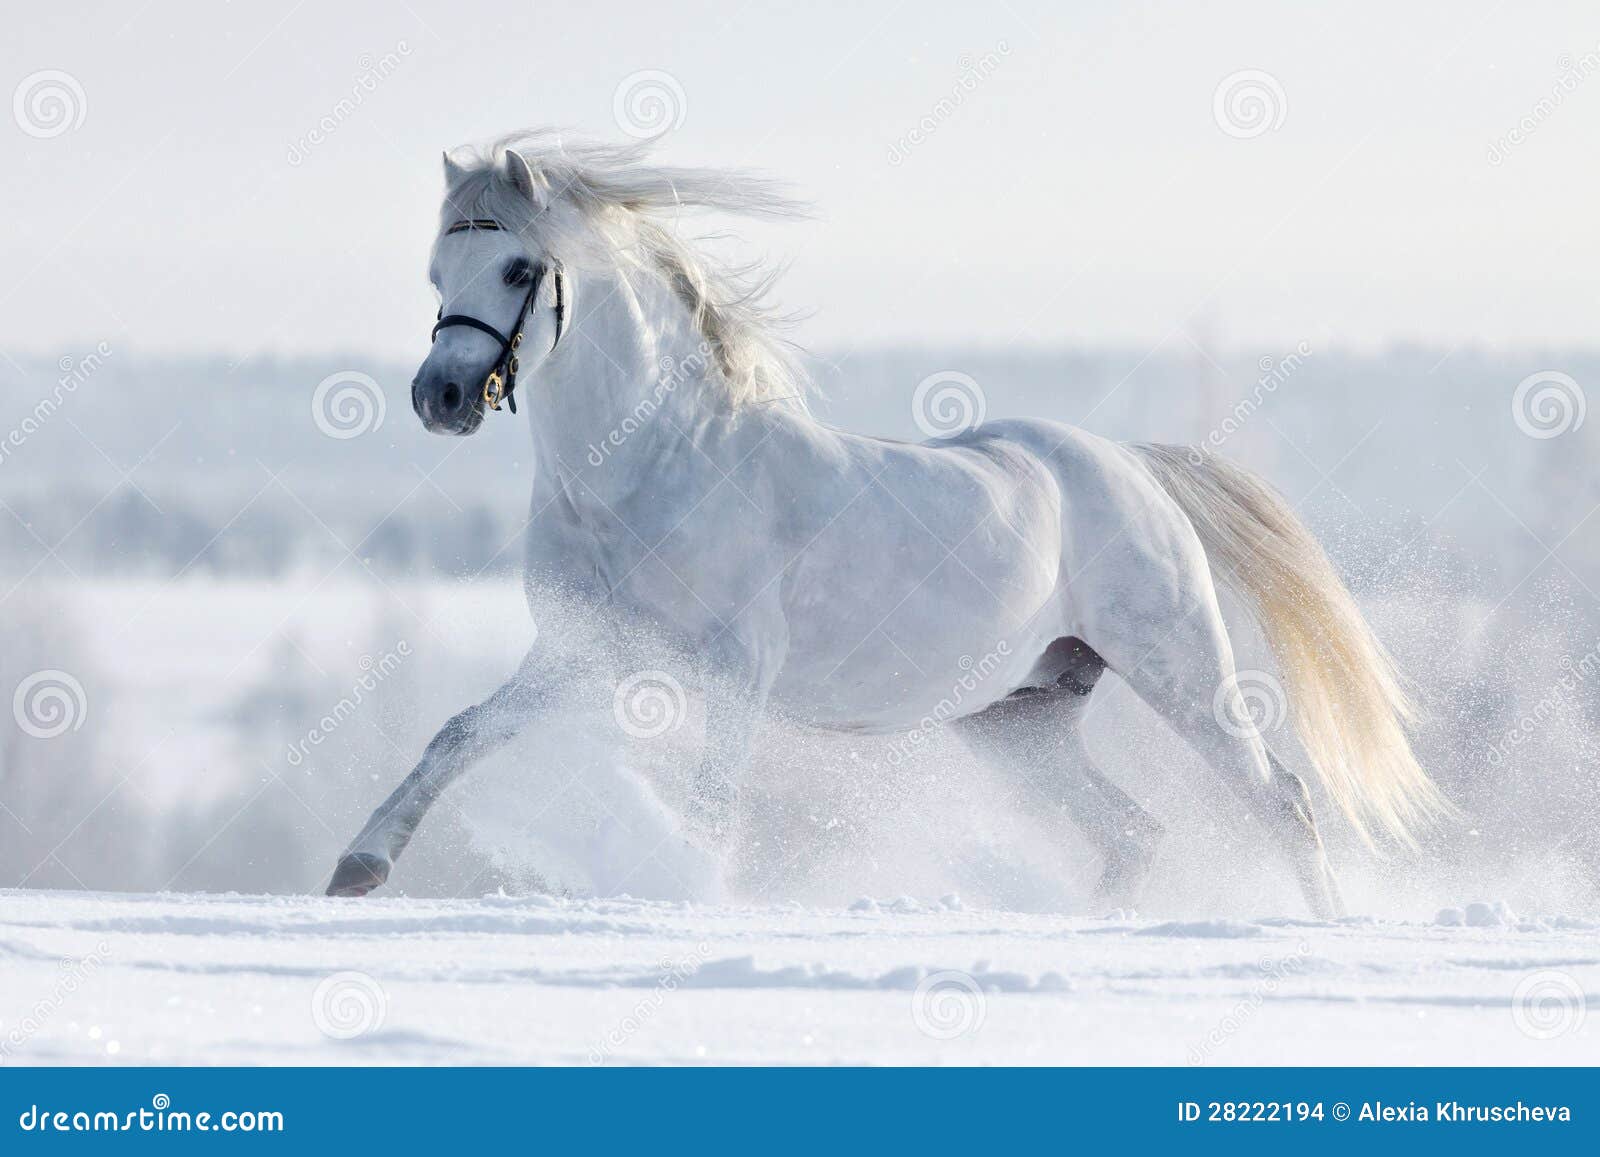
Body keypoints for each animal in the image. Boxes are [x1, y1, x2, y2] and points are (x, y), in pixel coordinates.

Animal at [327, 132, 1448, 916]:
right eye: (438, 275)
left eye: (519, 270)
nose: (439, 395)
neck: (647, 474)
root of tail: (1128, 465)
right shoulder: (581, 653)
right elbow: (458, 732)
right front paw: (357, 867)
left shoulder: (733, 672)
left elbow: (709, 809)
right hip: (1018, 718)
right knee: (1136, 831)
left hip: (1180, 668)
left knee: (1282, 798)